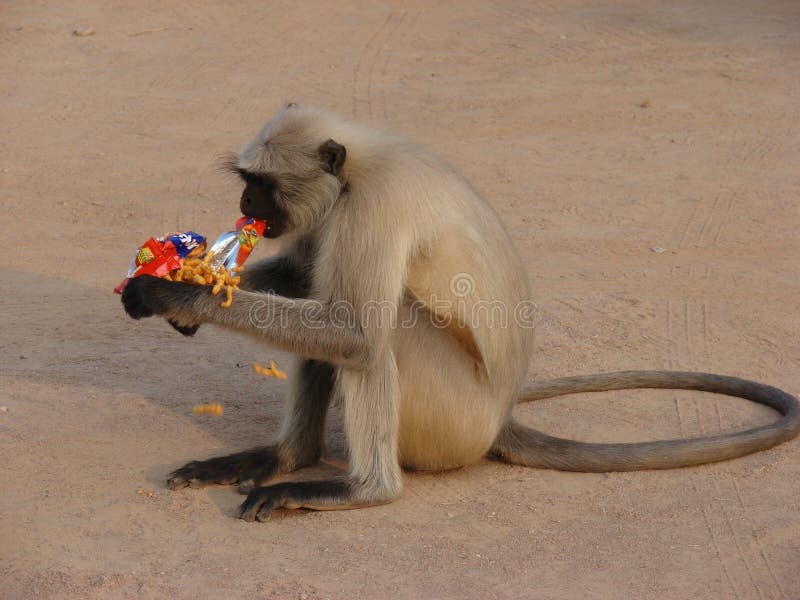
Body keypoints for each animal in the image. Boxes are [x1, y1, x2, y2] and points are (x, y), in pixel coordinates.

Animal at [121, 104, 800, 522]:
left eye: (263, 186)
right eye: (246, 182)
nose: (244, 203)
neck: (357, 167)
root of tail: (498, 416)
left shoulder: (370, 206)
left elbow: (353, 330)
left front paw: (176, 295)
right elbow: (308, 282)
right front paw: (183, 283)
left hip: (453, 420)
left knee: (373, 335)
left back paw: (362, 489)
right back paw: (286, 460)